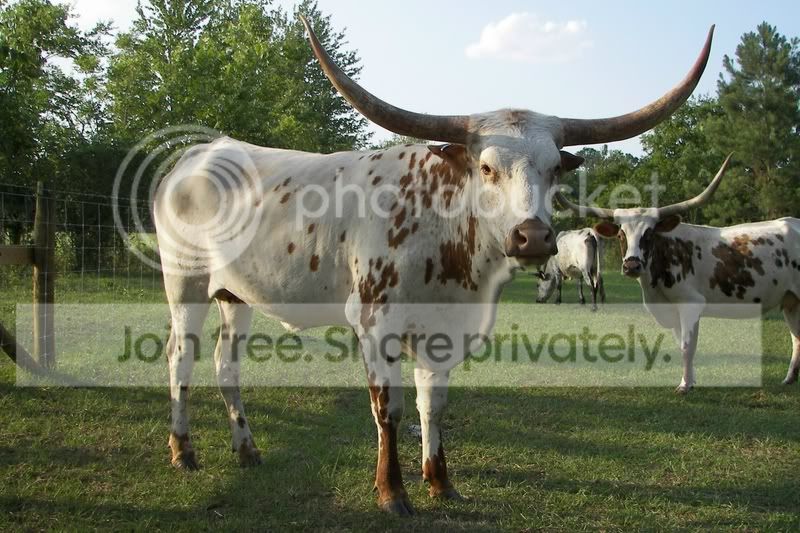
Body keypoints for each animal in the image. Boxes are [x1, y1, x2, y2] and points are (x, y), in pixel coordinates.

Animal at [153, 16, 716, 515]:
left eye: (555, 167)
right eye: (486, 167)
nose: (533, 237)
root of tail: (198, 156)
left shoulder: (447, 329)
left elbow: (433, 406)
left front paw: (440, 482)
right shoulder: (374, 324)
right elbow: (391, 410)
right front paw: (392, 492)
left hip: (236, 295)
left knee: (227, 365)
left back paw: (247, 450)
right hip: (185, 285)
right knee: (180, 359)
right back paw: (182, 452)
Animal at [556, 155, 800, 393]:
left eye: (650, 233)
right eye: (621, 235)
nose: (632, 266)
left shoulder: (691, 305)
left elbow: (686, 347)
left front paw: (684, 385)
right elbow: (680, 343)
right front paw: (691, 380)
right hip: (791, 302)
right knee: (796, 338)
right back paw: (789, 378)